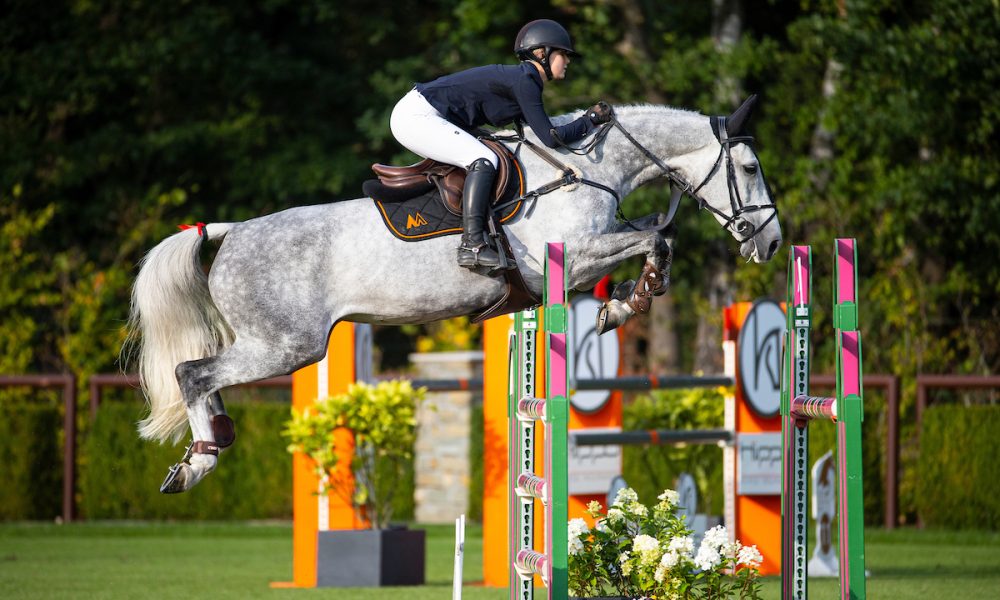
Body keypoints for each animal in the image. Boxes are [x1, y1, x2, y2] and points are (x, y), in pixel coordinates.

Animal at [126, 96, 782, 493]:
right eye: (750, 168)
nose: (772, 242)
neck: (586, 169)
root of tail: (231, 231)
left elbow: (653, 238)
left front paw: (628, 297)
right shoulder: (567, 261)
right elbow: (654, 240)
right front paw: (625, 303)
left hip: (277, 345)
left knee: (203, 377)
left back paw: (203, 450)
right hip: (286, 346)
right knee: (192, 373)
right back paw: (201, 459)